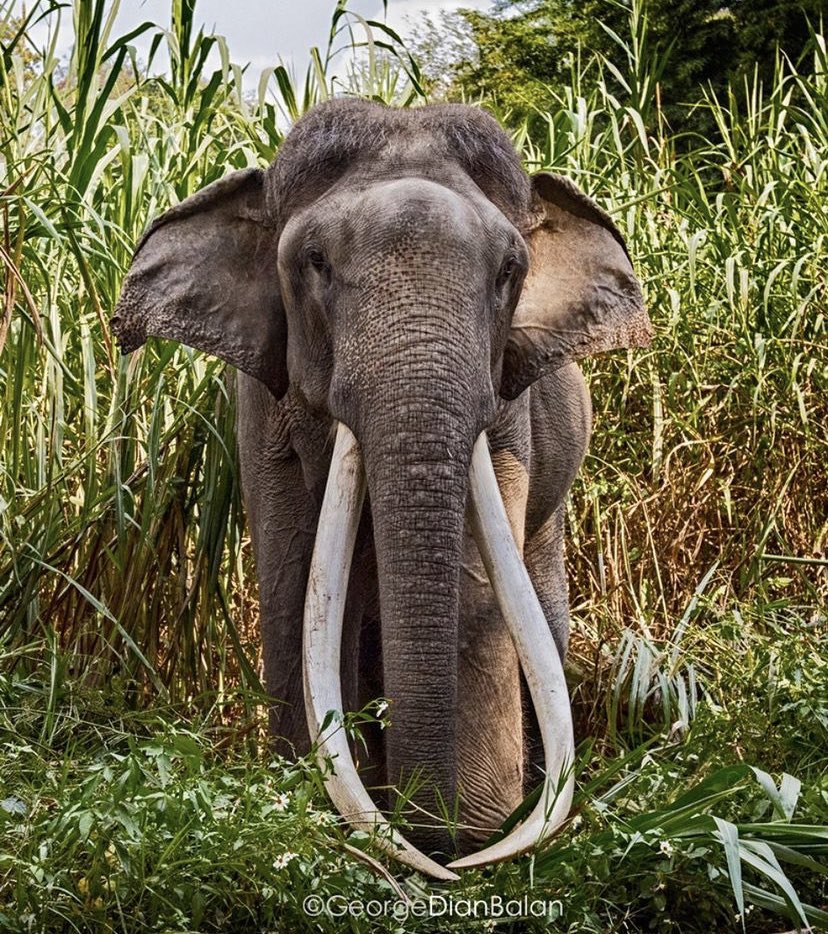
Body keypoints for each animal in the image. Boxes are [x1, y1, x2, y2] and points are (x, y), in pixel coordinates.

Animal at [111, 99, 650, 878]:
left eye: (509, 270)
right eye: (315, 262)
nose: (444, 859)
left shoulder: (507, 414)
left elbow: (475, 584)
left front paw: (468, 836)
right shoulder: (265, 411)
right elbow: (294, 580)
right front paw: (322, 809)